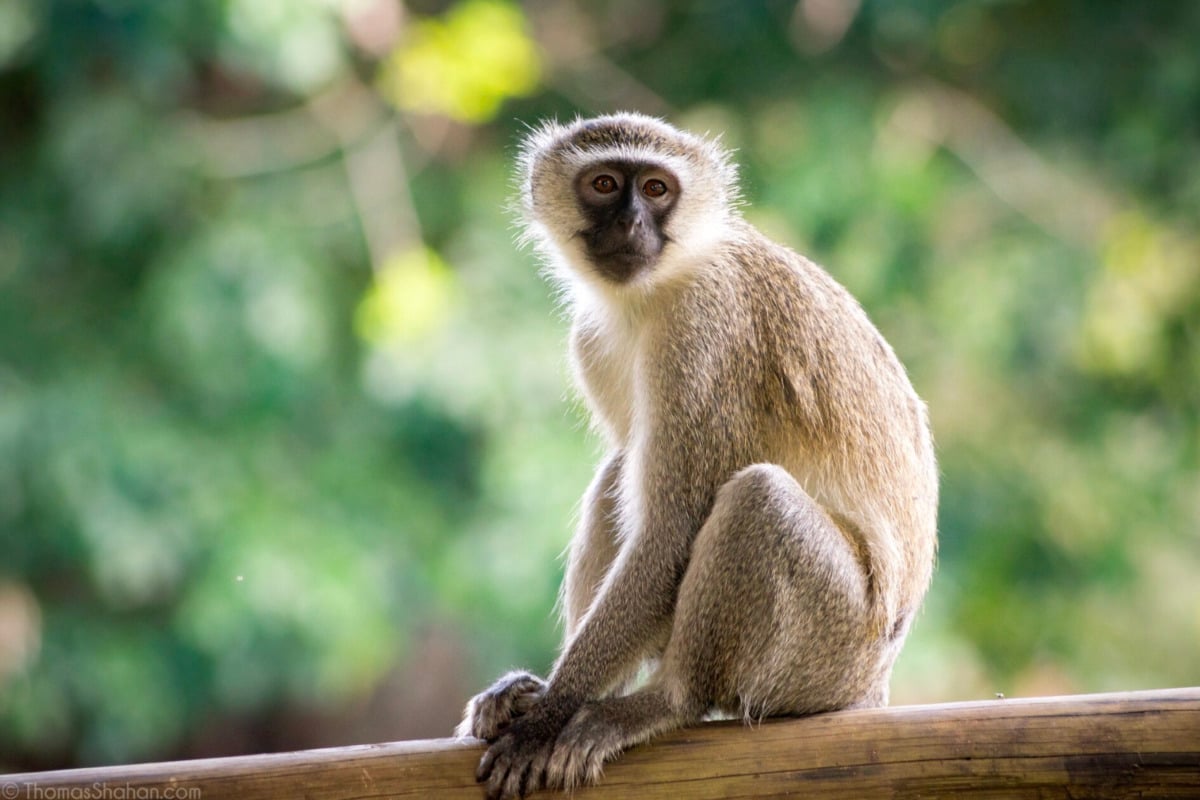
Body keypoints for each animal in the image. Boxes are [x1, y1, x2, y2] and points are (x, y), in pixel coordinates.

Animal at [457, 112, 938, 799]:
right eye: (605, 184)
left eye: (656, 189)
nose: (632, 224)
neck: (659, 286)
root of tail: (874, 686)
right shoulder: (591, 337)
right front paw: (538, 695)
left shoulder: (704, 331)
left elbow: (673, 529)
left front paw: (549, 715)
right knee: (621, 471)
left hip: (834, 648)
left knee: (757, 500)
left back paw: (665, 702)